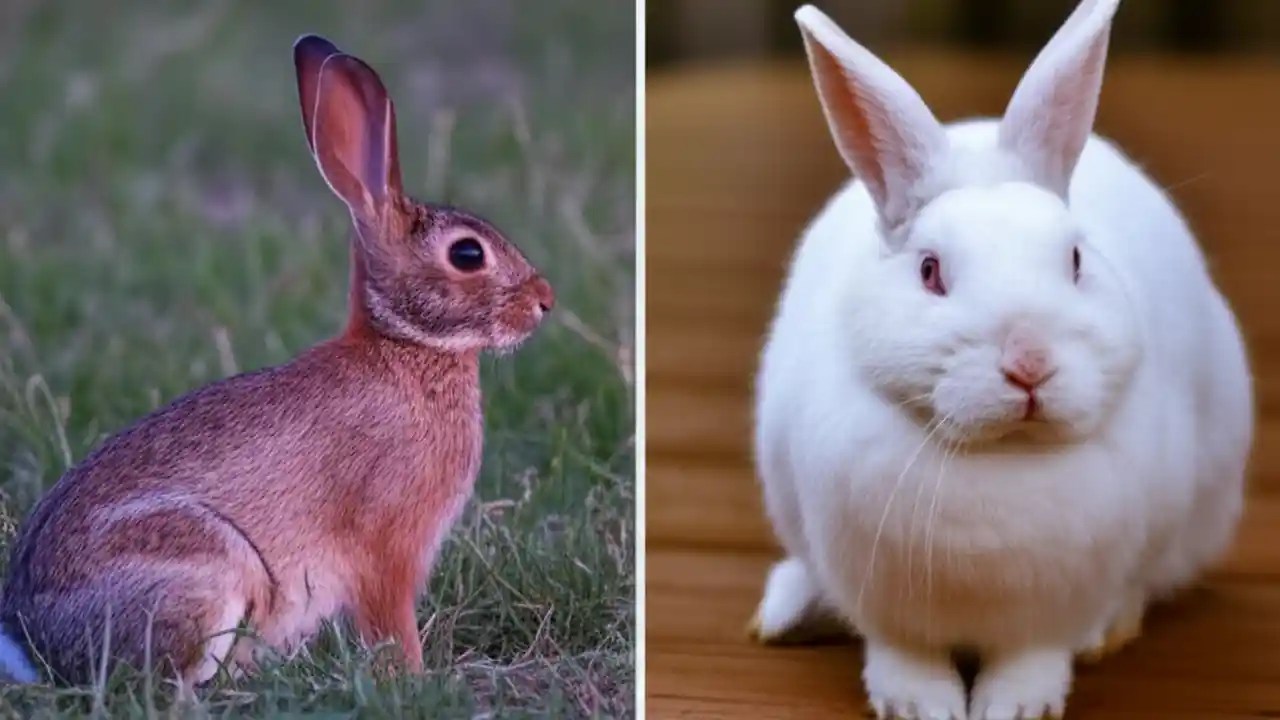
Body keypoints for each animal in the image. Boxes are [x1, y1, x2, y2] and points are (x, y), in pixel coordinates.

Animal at [0, 35, 555, 689]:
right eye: (468, 254)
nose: (545, 301)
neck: (405, 345)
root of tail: (30, 644)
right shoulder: (389, 552)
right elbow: (392, 625)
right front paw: (416, 680)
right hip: (209, 568)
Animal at [749, 1, 1252, 718]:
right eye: (930, 271)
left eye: (1076, 261)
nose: (1029, 361)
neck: (1001, 455)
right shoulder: (878, 596)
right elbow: (903, 652)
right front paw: (918, 704)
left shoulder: (1054, 609)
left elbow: (1031, 657)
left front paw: (1014, 705)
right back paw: (786, 611)